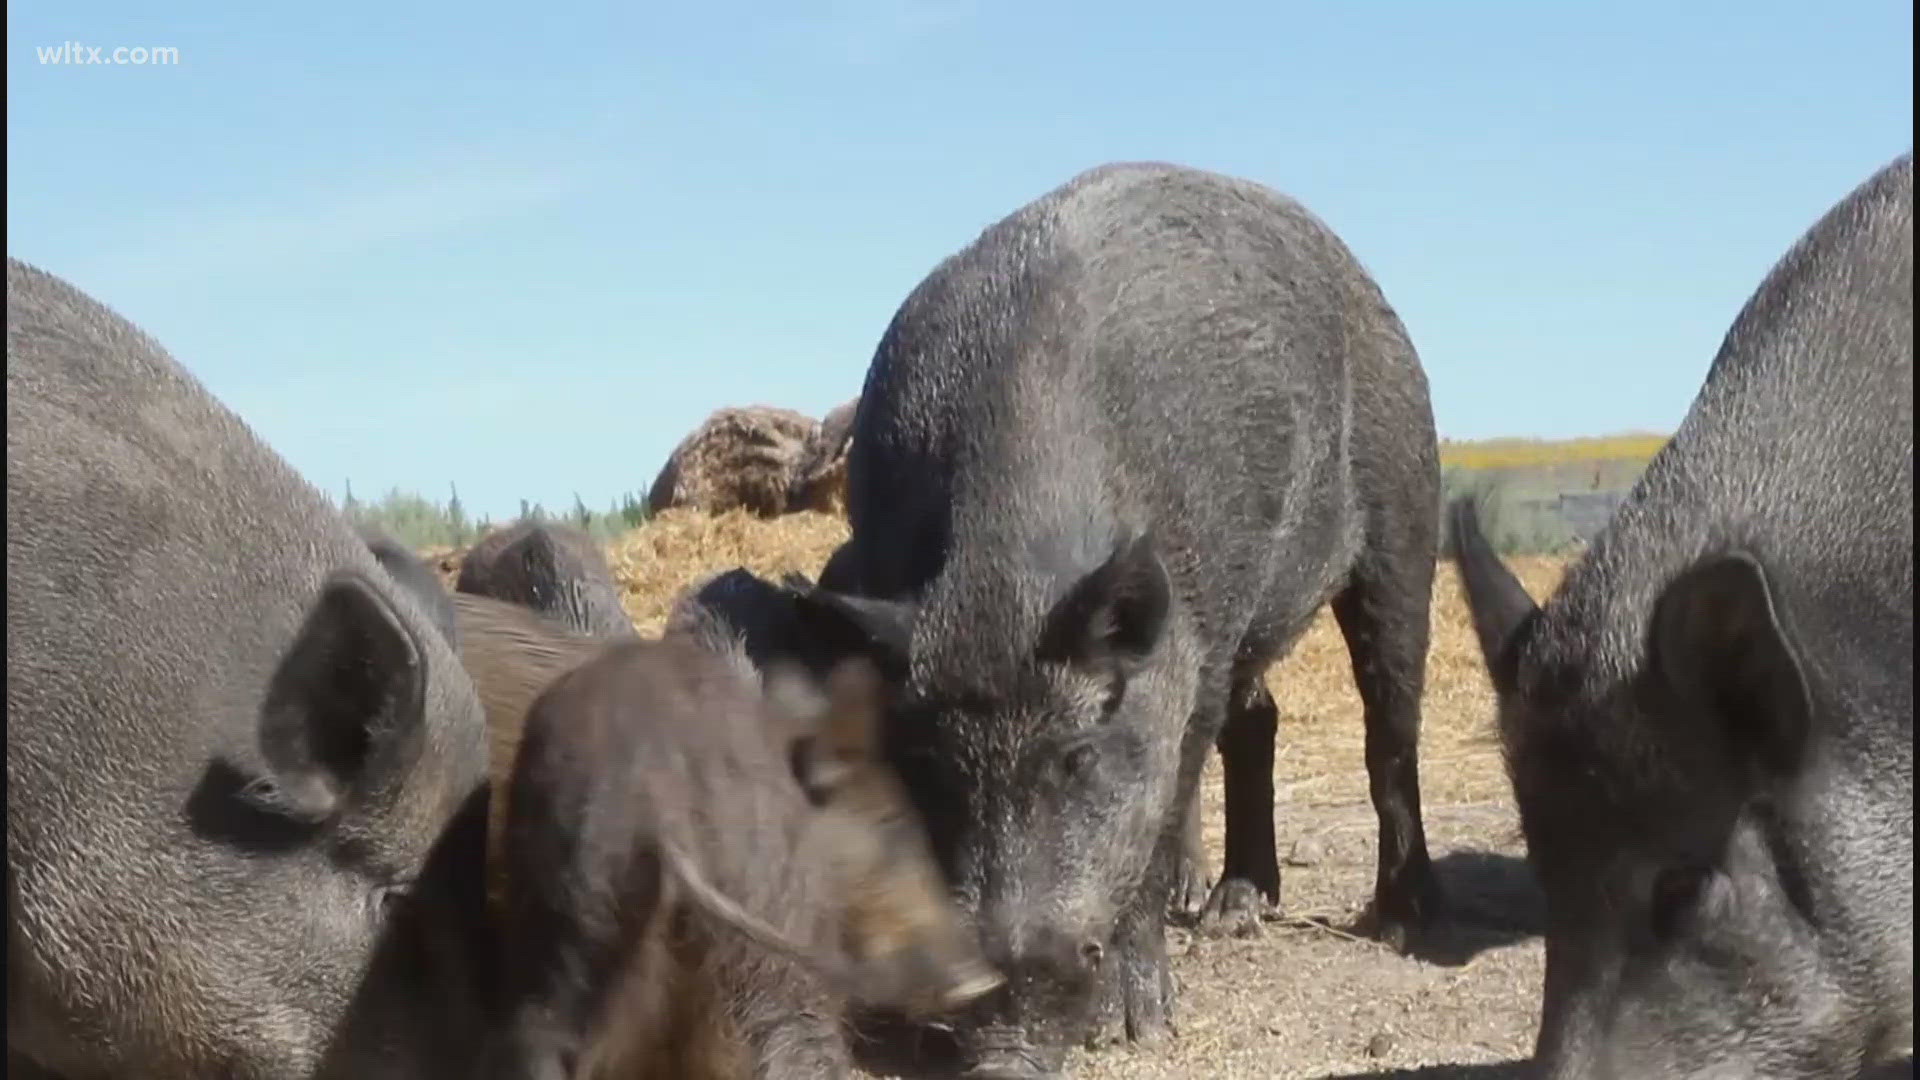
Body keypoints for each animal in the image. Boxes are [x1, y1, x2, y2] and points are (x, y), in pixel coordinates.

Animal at [787, 161, 1446, 1075]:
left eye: (1078, 757)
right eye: (934, 769)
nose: (1006, 1045)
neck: (1008, 584)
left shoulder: (1197, 639)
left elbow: (1163, 810)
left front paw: (1138, 1027)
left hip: (1404, 512)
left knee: (1390, 721)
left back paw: (1401, 918)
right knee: (1260, 719)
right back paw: (1232, 912)